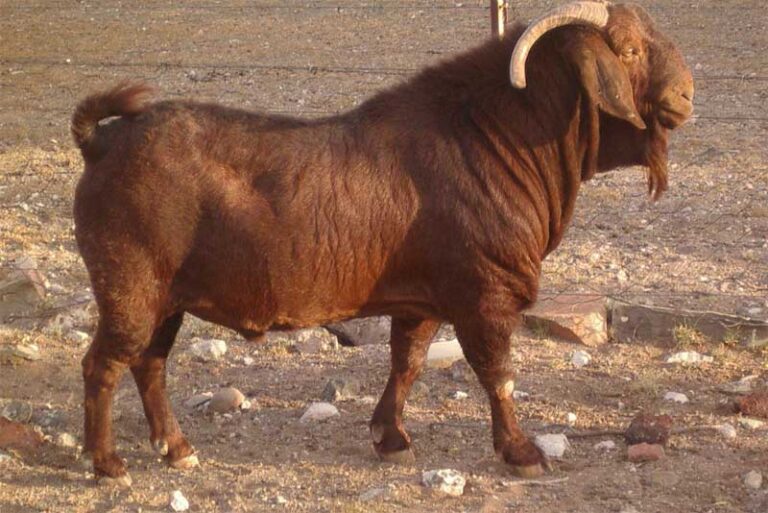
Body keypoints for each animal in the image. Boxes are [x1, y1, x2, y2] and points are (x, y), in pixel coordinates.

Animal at [71, 1, 693, 485]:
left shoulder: (421, 299)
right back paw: (108, 464)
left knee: (149, 364)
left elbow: (407, 363)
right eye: (629, 50)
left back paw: (176, 449)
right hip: (129, 287)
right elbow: (497, 375)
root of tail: (101, 142)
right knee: (103, 364)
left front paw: (390, 438)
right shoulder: (483, 294)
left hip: (166, 299)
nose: (686, 94)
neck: (492, 138)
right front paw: (521, 453)